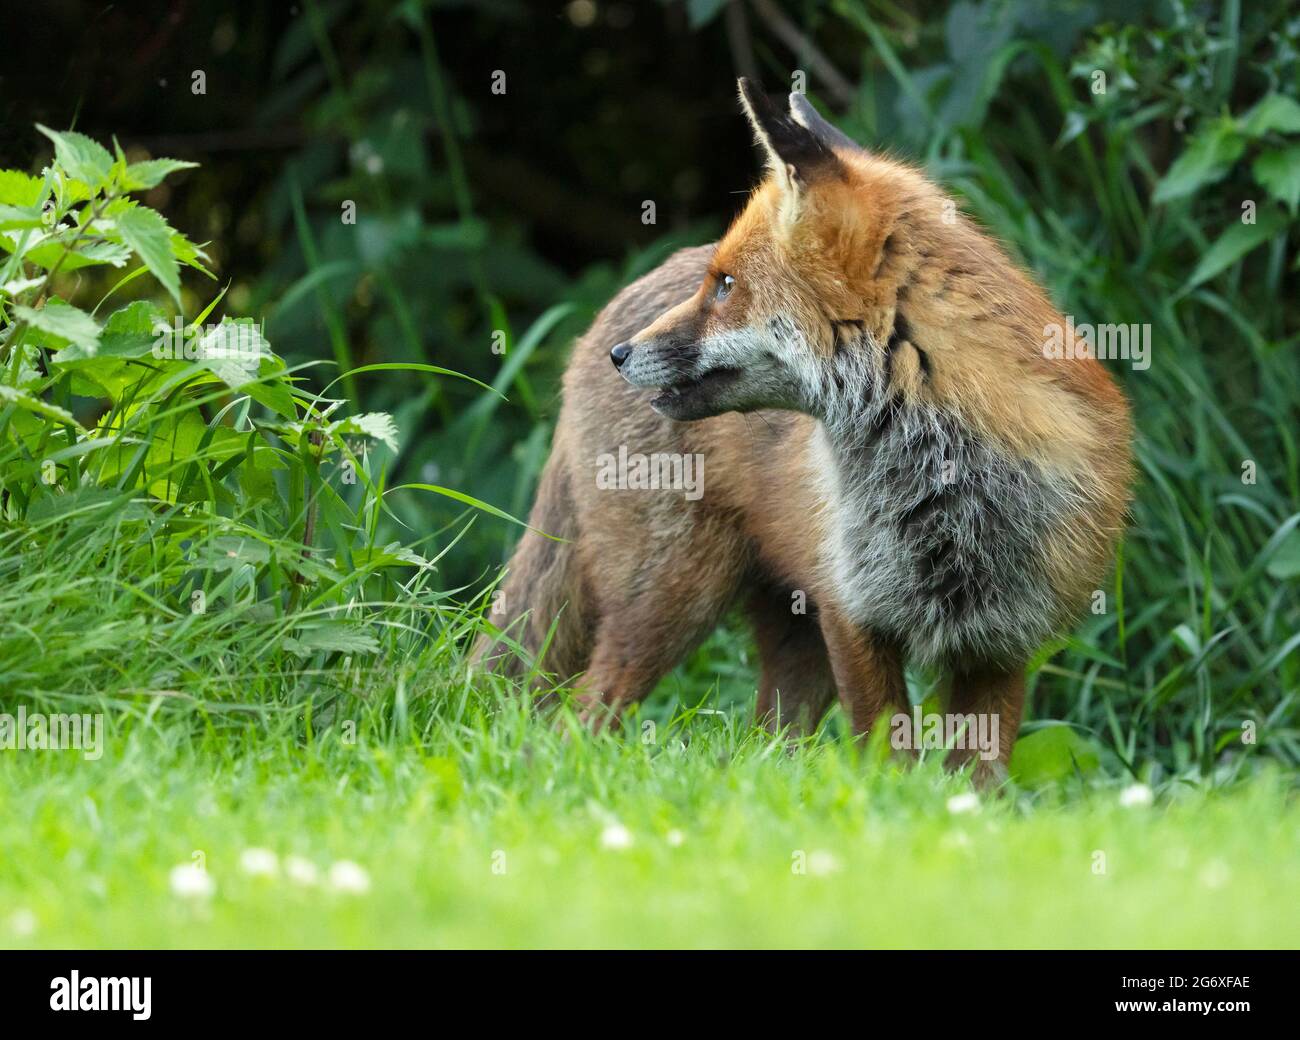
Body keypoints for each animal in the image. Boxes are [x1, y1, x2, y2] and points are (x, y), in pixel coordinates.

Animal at [474, 79, 1133, 783]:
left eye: (725, 286)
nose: (620, 355)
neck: (942, 477)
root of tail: (603, 314)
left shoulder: (1002, 638)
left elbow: (977, 780)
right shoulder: (853, 610)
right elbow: (889, 754)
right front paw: (891, 804)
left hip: (789, 643)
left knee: (762, 742)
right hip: (671, 603)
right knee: (581, 716)